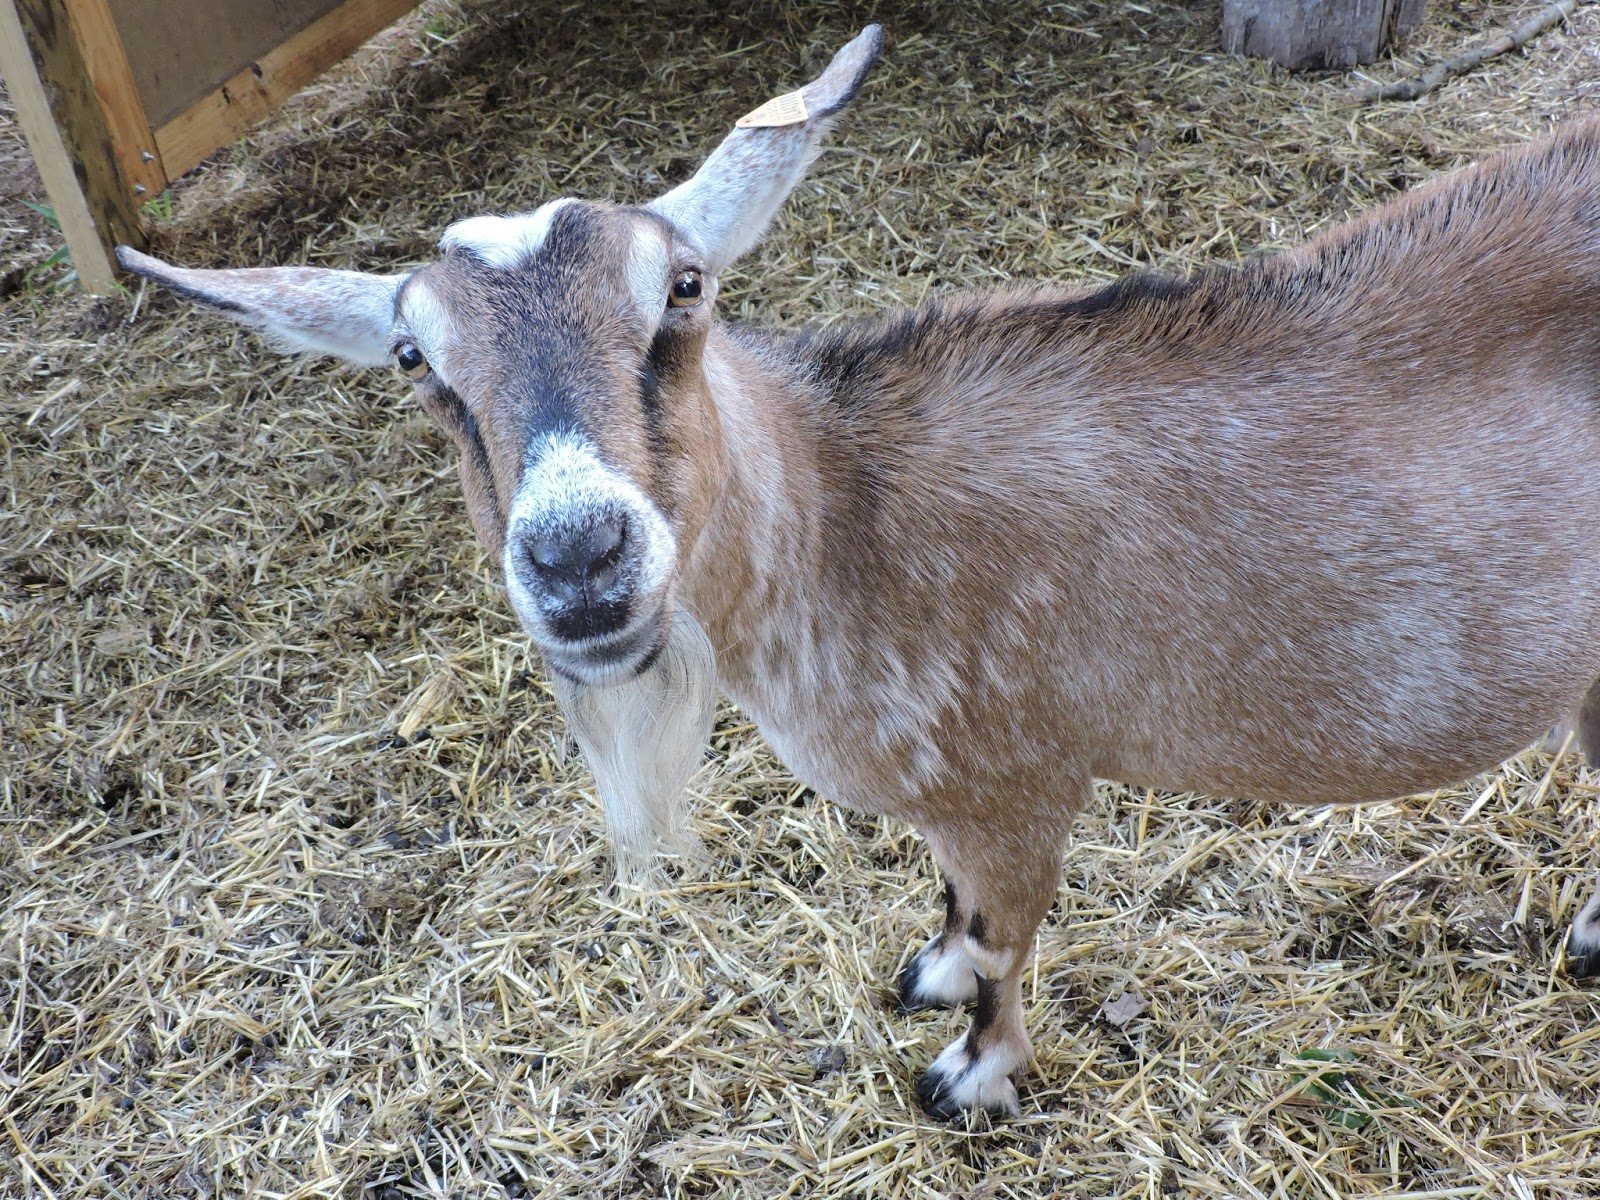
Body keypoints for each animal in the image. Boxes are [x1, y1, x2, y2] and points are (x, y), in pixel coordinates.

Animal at [116, 26, 1600, 1119]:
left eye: (685, 290)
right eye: (416, 358)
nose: (579, 555)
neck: (849, 521)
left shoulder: (1018, 778)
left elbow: (1005, 941)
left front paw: (970, 1078)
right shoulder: (957, 802)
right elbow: (954, 920)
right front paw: (927, 975)